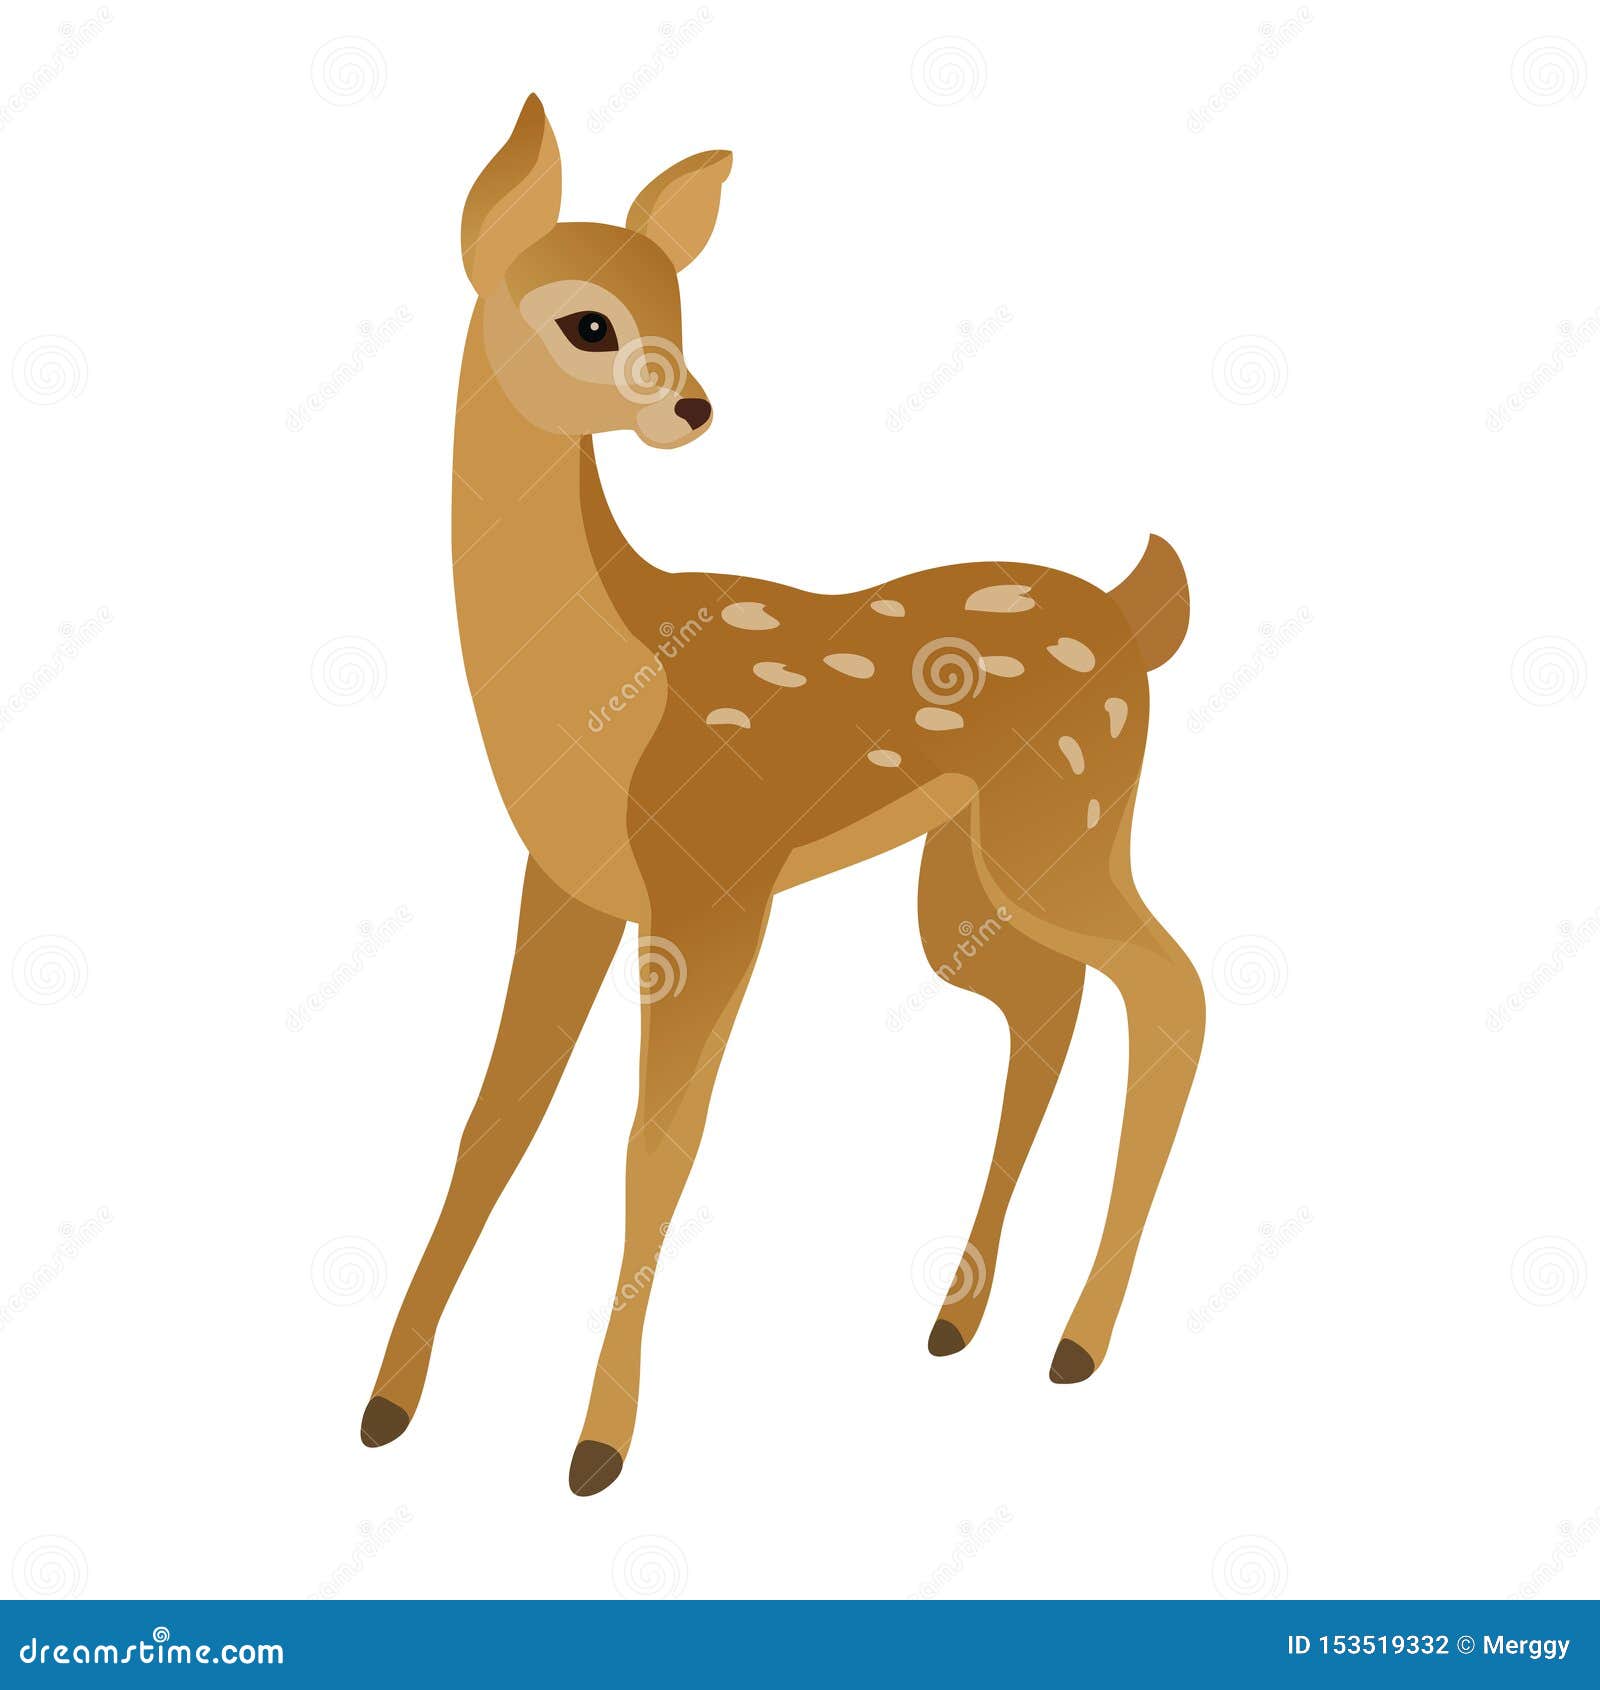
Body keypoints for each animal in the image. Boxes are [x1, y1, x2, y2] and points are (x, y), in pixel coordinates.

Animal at [361, 94, 1205, 1496]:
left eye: (682, 303)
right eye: (589, 319)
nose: (694, 406)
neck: (605, 694)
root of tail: (1142, 619)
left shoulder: (713, 875)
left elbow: (656, 1145)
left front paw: (596, 1445)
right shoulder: (565, 883)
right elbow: (493, 1119)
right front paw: (386, 1402)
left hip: (1068, 819)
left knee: (1171, 988)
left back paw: (1076, 1341)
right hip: (967, 868)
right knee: (1049, 1002)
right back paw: (961, 1318)